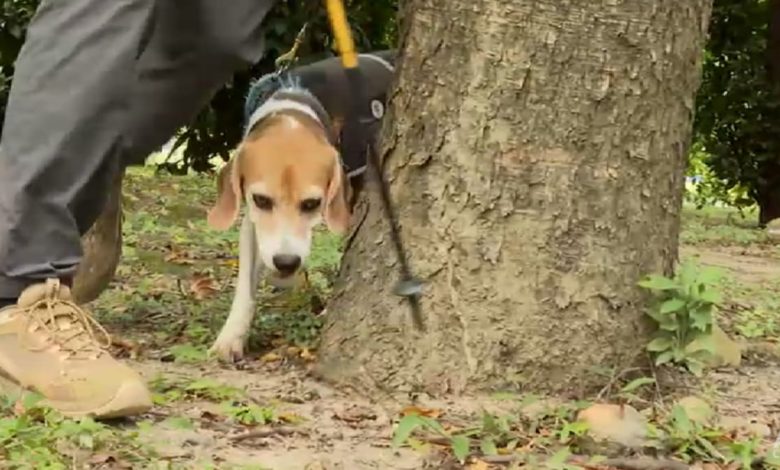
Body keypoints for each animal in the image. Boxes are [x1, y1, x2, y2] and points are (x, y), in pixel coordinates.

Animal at [207, 50, 396, 360]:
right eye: (261, 200)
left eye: (311, 204)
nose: (286, 262)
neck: (294, 106)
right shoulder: (252, 224)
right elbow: (245, 287)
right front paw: (231, 337)